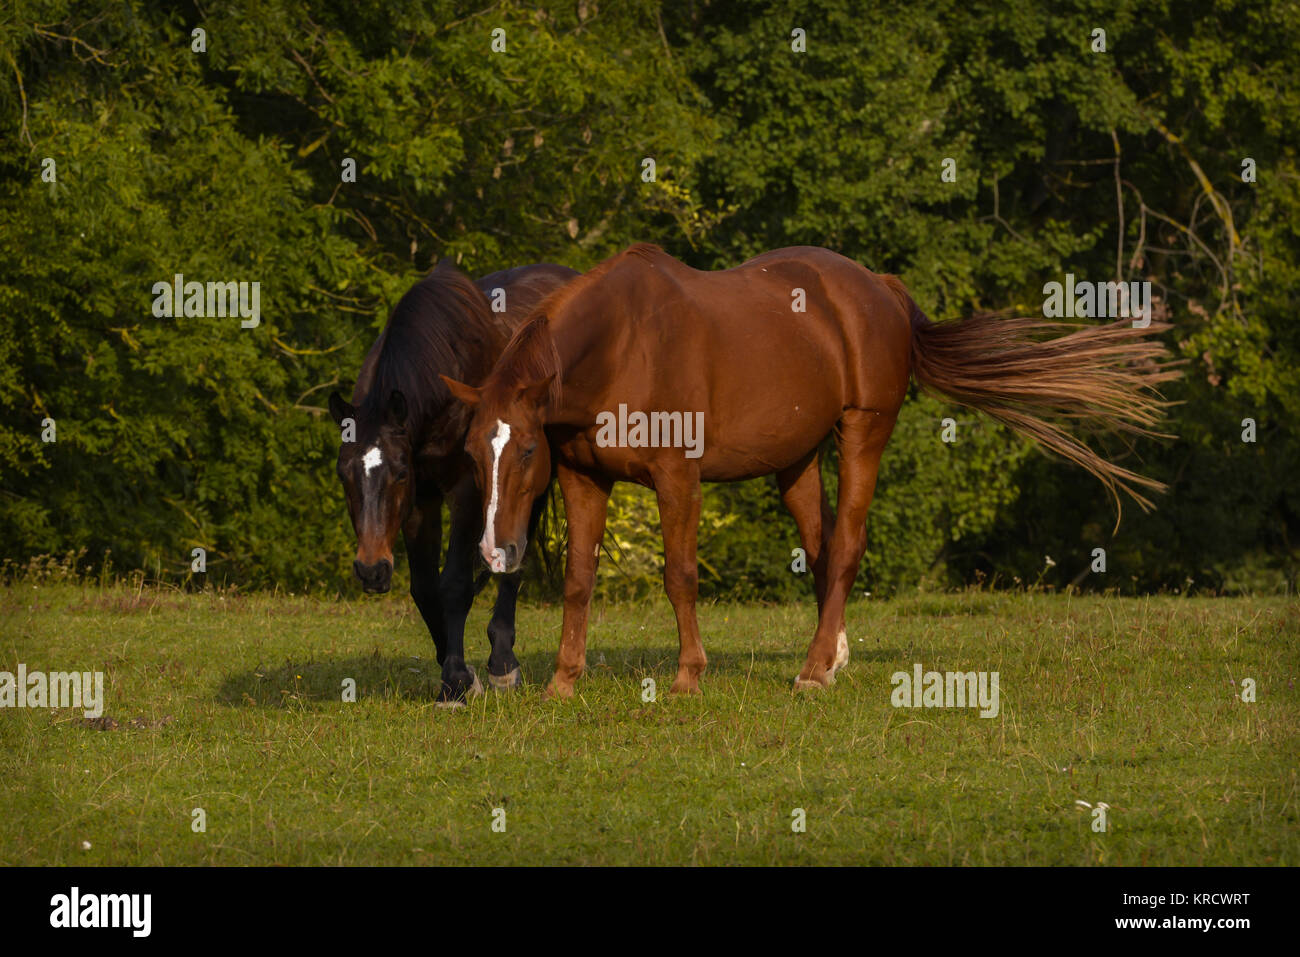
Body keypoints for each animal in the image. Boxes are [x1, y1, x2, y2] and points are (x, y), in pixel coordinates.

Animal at [329, 258, 578, 706]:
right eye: (344, 475)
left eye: (399, 472)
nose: (371, 570)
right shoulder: (420, 501)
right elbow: (426, 588)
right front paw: (457, 672)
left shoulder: (468, 492)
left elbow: (456, 584)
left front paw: (459, 678)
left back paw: (503, 664)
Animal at [441, 244, 1178, 698]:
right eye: (473, 451)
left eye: (525, 449)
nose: (495, 551)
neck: (625, 344)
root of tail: (877, 289)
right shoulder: (584, 480)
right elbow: (578, 581)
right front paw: (564, 680)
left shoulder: (678, 479)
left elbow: (680, 577)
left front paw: (688, 675)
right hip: (796, 460)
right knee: (823, 550)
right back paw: (832, 654)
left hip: (862, 433)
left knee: (846, 544)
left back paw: (814, 672)